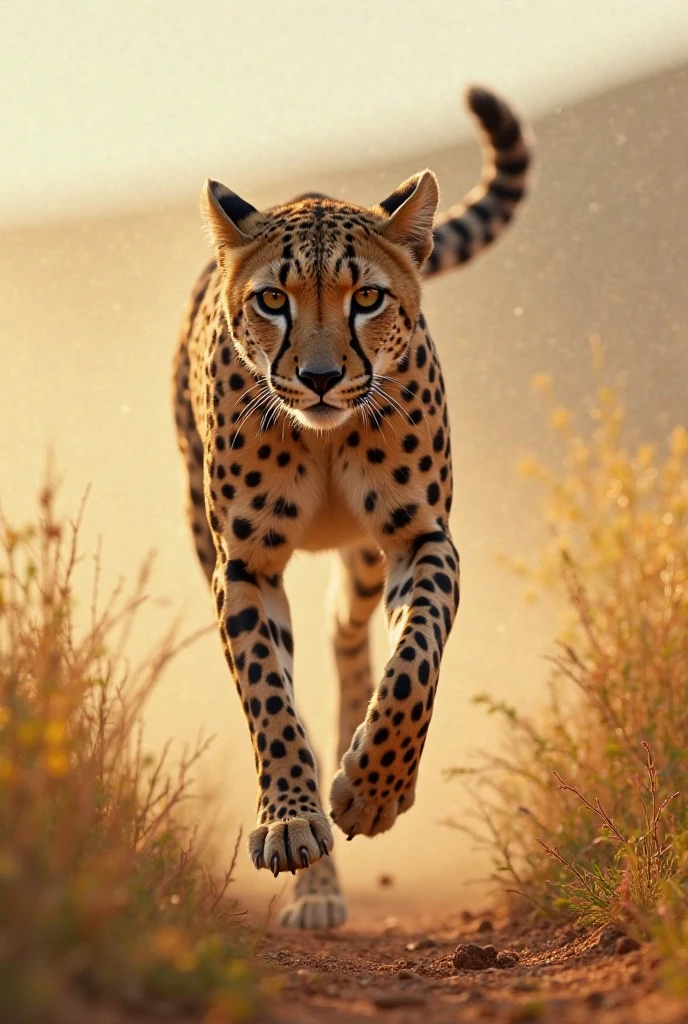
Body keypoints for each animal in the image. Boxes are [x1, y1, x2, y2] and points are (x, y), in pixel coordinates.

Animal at [172, 85, 533, 930]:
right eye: (272, 300)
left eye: (366, 297)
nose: (321, 377)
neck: (323, 437)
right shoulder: (245, 566)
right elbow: (269, 698)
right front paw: (292, 822)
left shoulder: (421, 538)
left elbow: (414, 663)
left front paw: (373, 789)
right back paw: (316, 884)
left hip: (365, 560)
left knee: (345, 631)